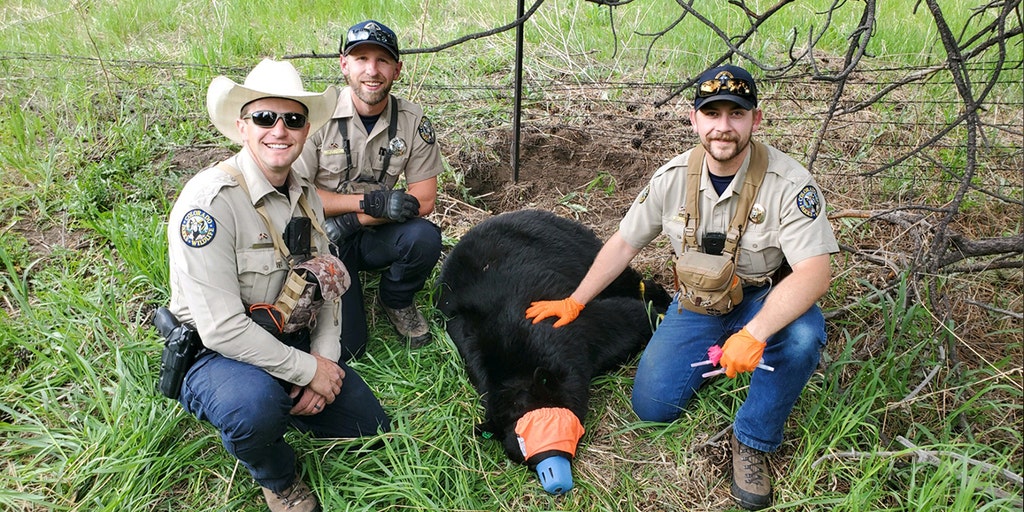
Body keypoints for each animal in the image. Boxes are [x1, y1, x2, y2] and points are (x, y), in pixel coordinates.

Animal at [436, 209, 671, 493]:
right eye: (522, 455)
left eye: (552, 428)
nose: (553, 479)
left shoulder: (562, 328)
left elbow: (621, 320)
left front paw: (655, 314)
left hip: (580, 248)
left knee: (620, 276)